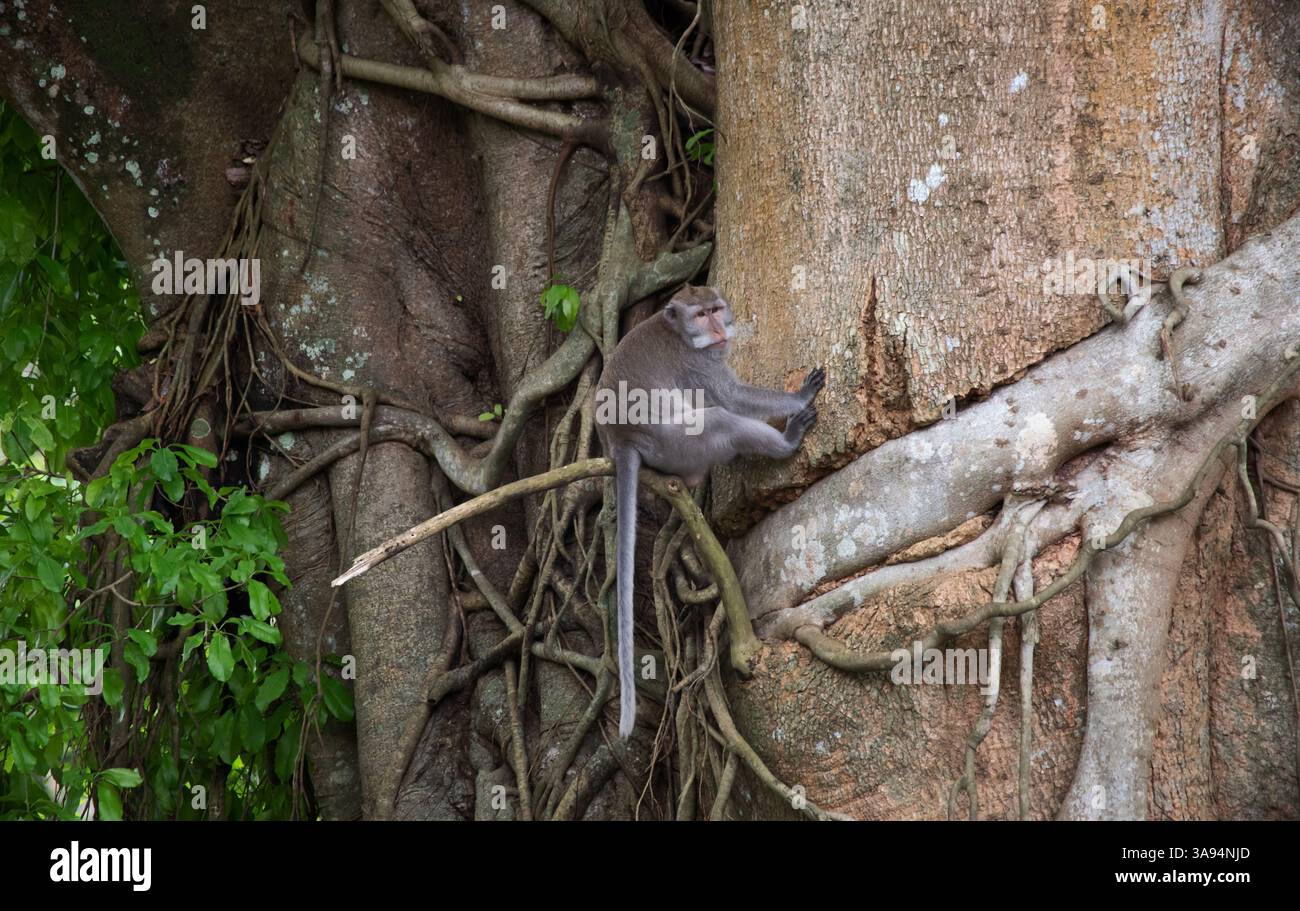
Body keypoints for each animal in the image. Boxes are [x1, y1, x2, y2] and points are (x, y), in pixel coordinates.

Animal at [595, 284, 825, 738]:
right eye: (700, 315)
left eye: (716, 309)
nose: (719, 328)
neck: (681, 334)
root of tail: (621, 440)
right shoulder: (696, 364)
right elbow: (733, 398)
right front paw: (799, 398)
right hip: (677, 442)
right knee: (720, 418)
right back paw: (786, 443)